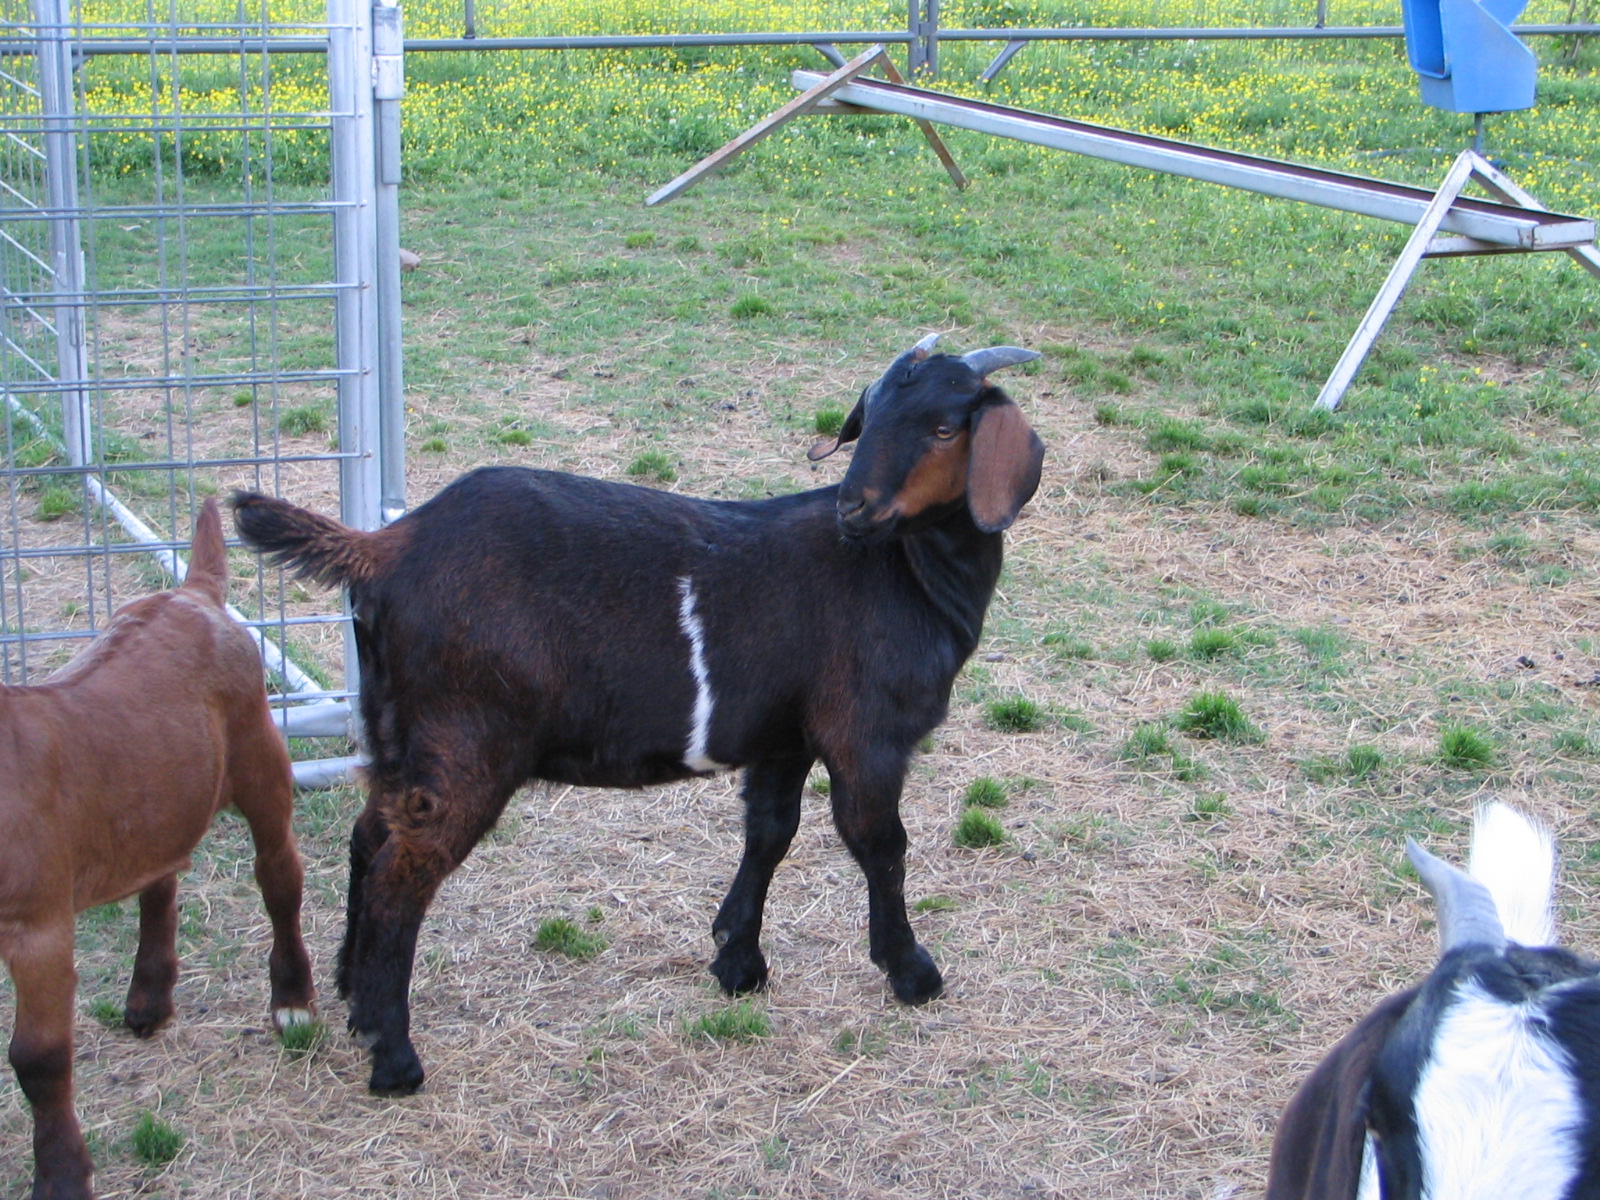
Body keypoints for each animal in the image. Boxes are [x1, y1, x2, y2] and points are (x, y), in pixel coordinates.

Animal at [0, 498, 315, 1200]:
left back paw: (292, 1002)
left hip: (259, 753)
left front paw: (62, 1177)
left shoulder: (38, 922)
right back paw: (149, 997)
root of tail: (193, 591)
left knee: (279, 873)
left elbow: (37, 1056)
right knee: (161, 874)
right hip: (159, 790)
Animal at [231, 334, 1044, 1095]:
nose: (853, 506)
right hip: (465, 740)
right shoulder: (865, 733)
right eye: (869, 416)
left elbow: (769, 832)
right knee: (402, 873)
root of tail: (385, 549)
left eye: (944, 427)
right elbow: (881, 845)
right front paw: (913, 973)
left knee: (369, 838)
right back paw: (394, 1058)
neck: (905, 569)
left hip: (394, 730)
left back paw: (352, 997)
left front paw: (738, 960)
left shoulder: (784, 734)